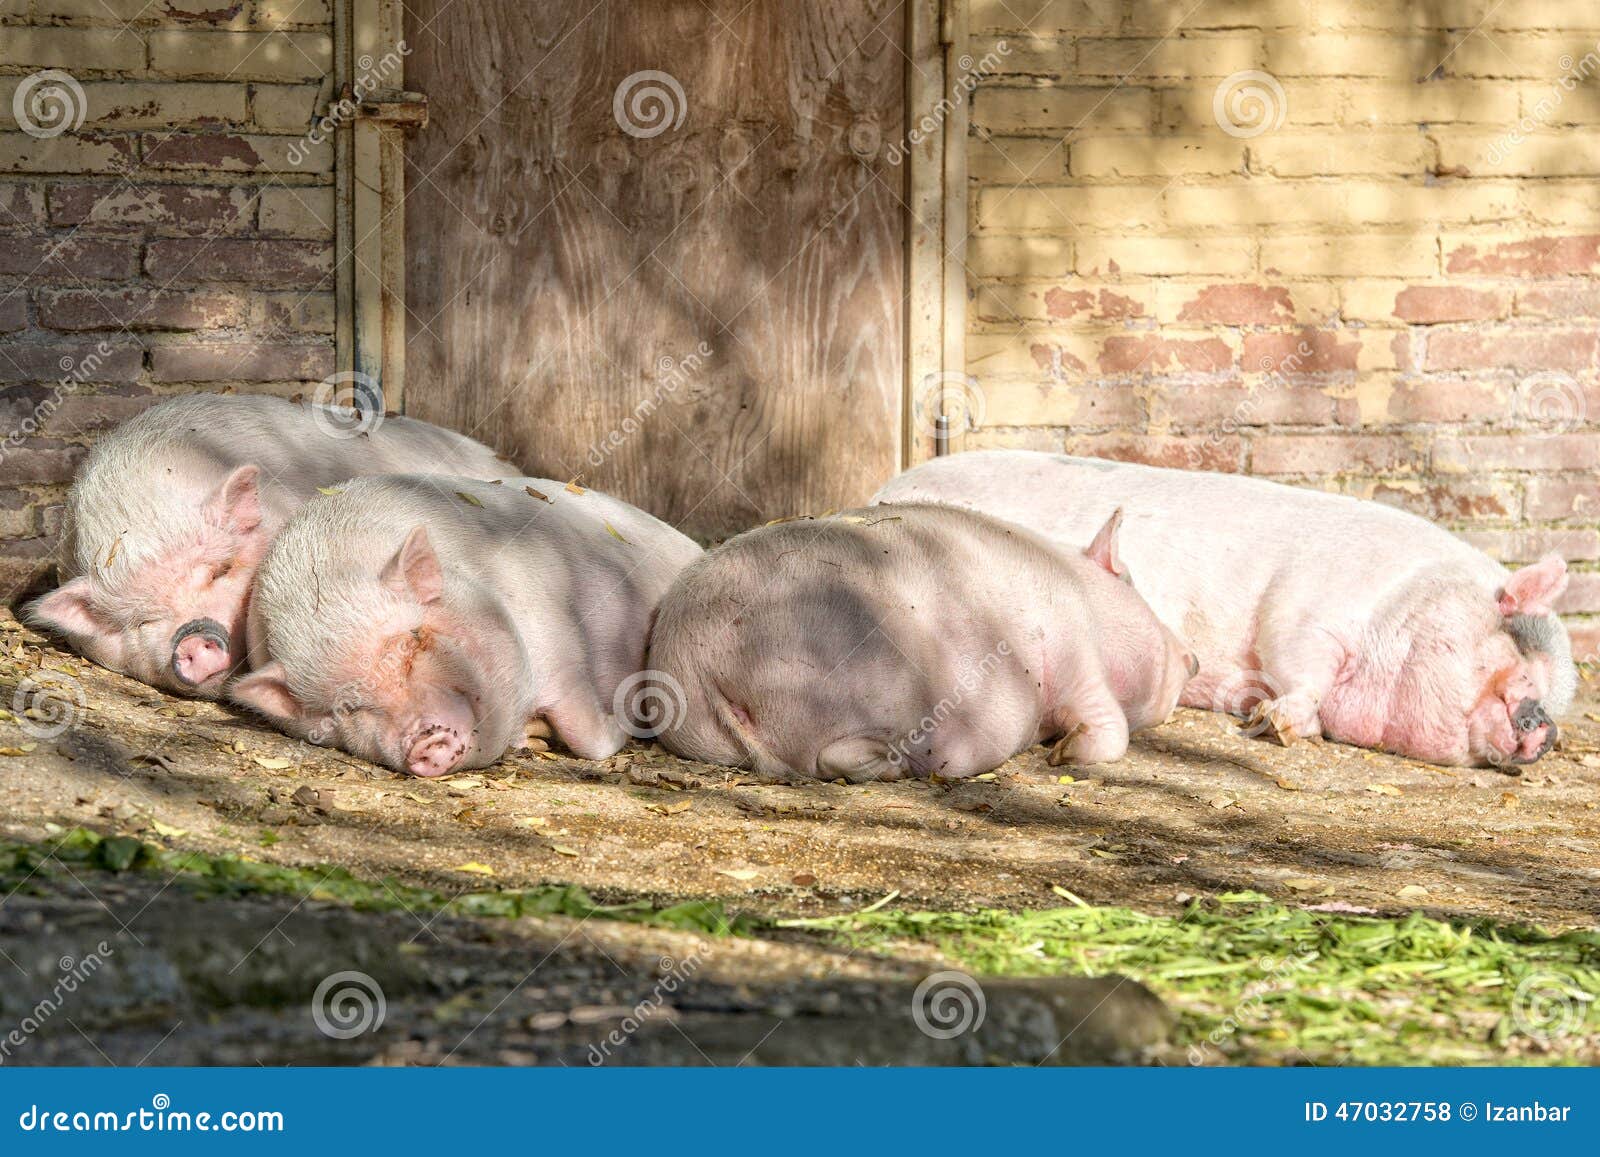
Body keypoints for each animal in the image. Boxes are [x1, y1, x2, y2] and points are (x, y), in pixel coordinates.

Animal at [229, 474, 703, 777]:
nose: (425, 740)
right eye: (347, 708)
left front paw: (622, 726)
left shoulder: (560, 652)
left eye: (414, 641)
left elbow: (588, 737)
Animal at [645, 504, 1196, 780]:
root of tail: (694, 661)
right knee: (835, 759)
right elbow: (1110, 729)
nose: (1192, 659)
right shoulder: (1077, 659)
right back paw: (899, 768)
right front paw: (1062, 756)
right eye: (1132, 582)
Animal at [873, 451, 1578, 769]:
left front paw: (1264, 717)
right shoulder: (1302, 609)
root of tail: (886, 486)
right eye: (1519, 663)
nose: (1546, 730)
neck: (1400, 602)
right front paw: (1273, 724)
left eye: (1559, 693)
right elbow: (1302, 668)